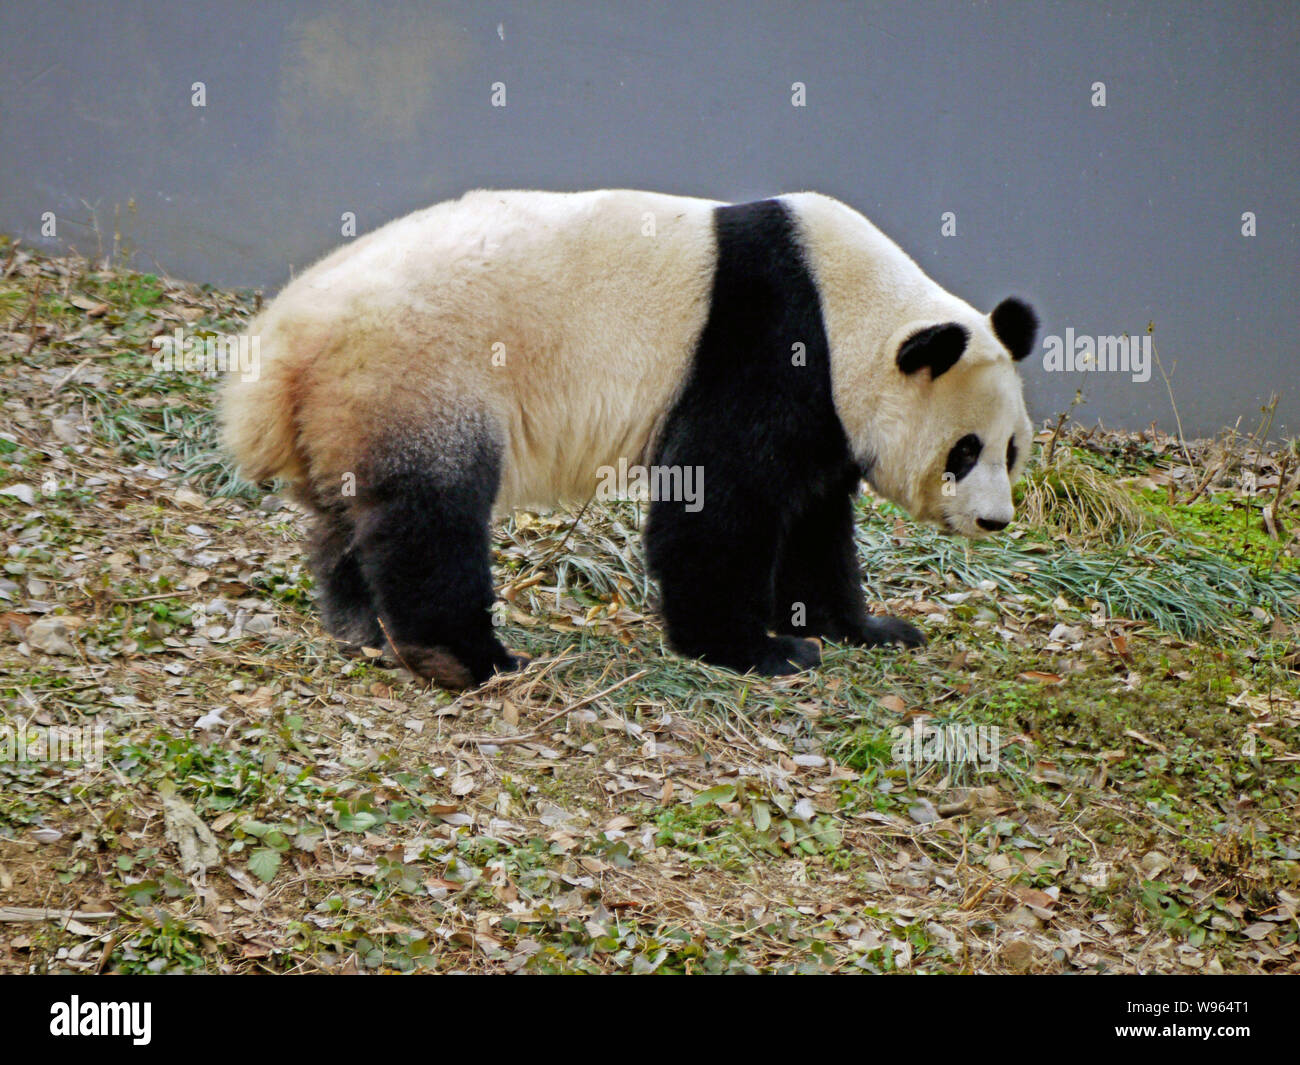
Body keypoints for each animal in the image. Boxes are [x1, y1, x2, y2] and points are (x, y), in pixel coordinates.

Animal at [222, 189, 1036, 689]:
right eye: (966, 449)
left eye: (1011, 450)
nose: (995, 520)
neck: (851, 307)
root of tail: (288, 341)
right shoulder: (767, 345)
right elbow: (715, 506)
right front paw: (759, 650)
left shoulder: (825, 410)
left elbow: (813, 524)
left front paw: (864, 628)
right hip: (422, 374)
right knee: (431, 518)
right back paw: (467, 657)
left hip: (349, 409)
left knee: (345, 518)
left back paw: (359, 627)